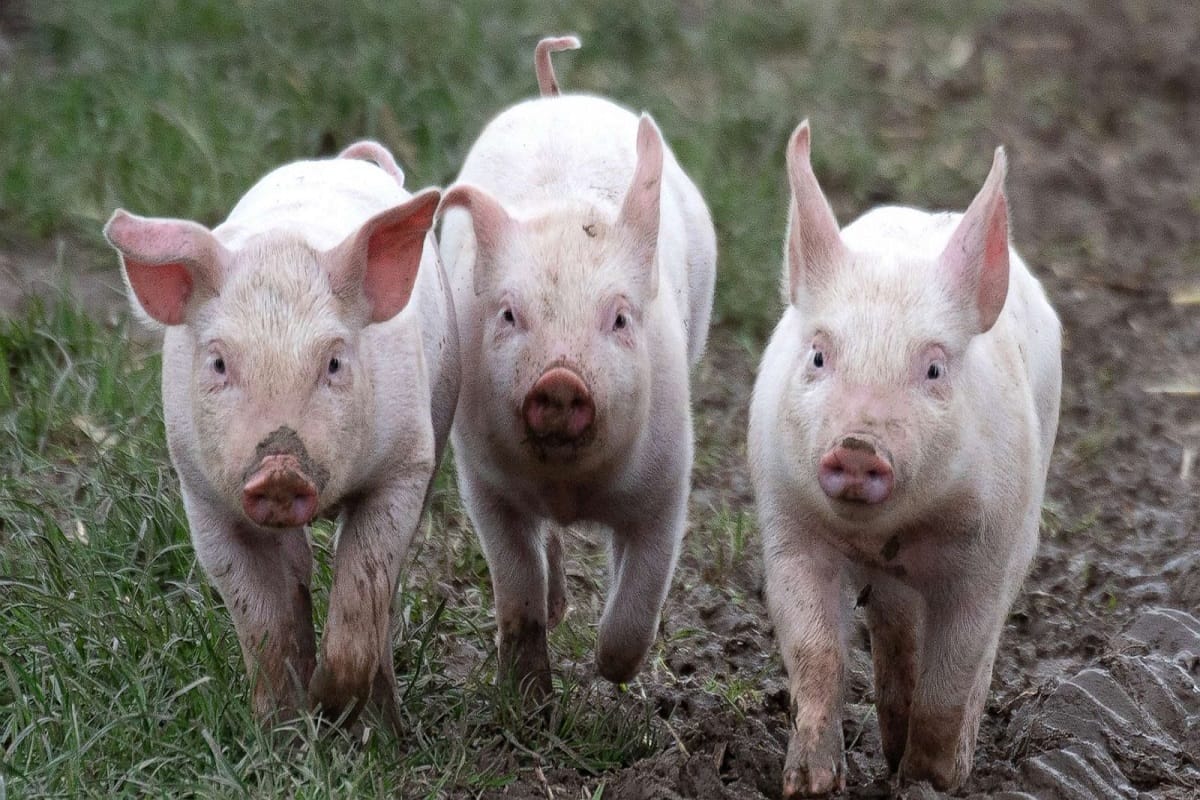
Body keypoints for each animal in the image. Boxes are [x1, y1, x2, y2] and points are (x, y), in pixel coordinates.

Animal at [102, 141, 459, 729]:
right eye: (219, 363)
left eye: (334, 362)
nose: (280, 469)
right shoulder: (201, 493)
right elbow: (261, 621)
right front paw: (282, 730)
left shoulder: (405, 461)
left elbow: (363, 585)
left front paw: (331, 707)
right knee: (298, 569)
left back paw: (388, 724)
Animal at [436, 37, 717, 694]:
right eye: (508, 314)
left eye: (619, 319)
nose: (561, 380)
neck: (568, 489)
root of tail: (554, 96)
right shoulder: (481, 479)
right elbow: (516, 581)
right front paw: (528, 692)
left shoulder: (670, 479)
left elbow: (642, 590)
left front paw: (610, 670)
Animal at [749, 121, 1061, 796]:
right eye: (819, 355)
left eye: (935, 368)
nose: (858, 445)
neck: (888, 535)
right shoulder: (788, 528)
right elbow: (816, 655)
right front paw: (810, 783)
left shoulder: (987, 554)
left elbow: (955, 674)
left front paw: (928, 779)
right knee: (893, 630)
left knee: (977, 656)